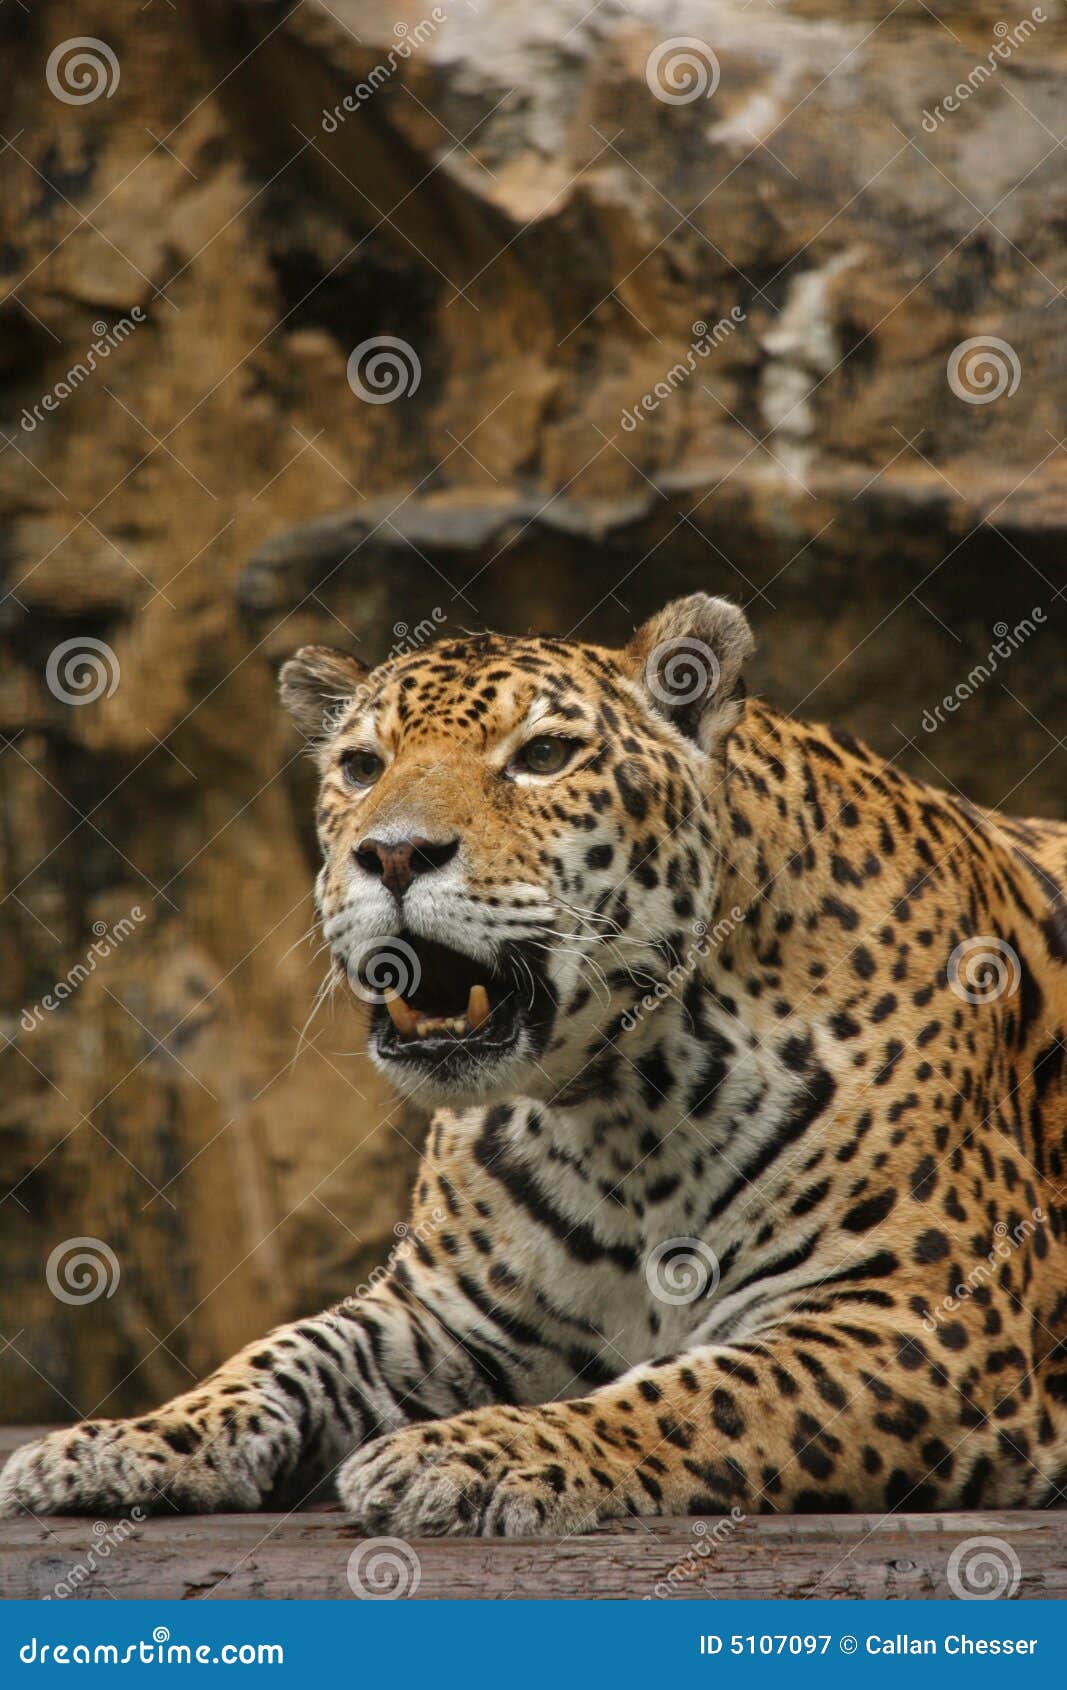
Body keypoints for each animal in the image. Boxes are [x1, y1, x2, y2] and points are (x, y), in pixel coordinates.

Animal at [4, 592, 1066, 1535]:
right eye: (360, 766)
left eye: (543, 758)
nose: (393, 855)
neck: (629, 1107)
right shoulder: (440, 1314)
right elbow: (280, 1352)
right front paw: (120, 1441)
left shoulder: (919, 1319)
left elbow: (693, 1392)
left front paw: (469, 1452)